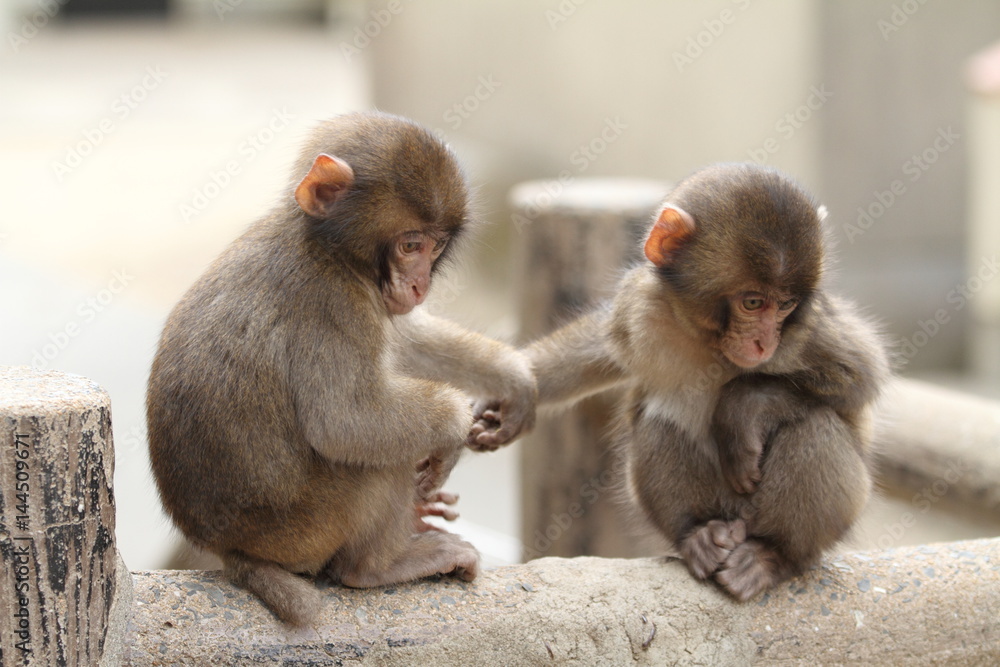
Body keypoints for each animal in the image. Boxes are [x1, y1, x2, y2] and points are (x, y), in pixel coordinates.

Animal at [146, 112, 536, 626]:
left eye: (436, 248)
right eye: (411, 244)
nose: (420, 284)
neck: (327, 247)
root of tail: (228, 547)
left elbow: (406, 339)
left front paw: (514, 376)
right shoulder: (332, 302)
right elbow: (345, 422)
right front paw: (455, 426)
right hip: (306, 529)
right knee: (374, 459)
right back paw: (373, 567)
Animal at [525, 163, 889, 600]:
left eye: (785, 305)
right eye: (753, 302)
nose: (764, 342)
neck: (707, 342)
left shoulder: (809, 330)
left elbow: (861, 376)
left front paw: (741, 409)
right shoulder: (640, 304)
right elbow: (597, 349)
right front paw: (514, 384)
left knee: (813, 427)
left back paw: (772, 555)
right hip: (721, 507)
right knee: (659, 420)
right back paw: (698, 536)